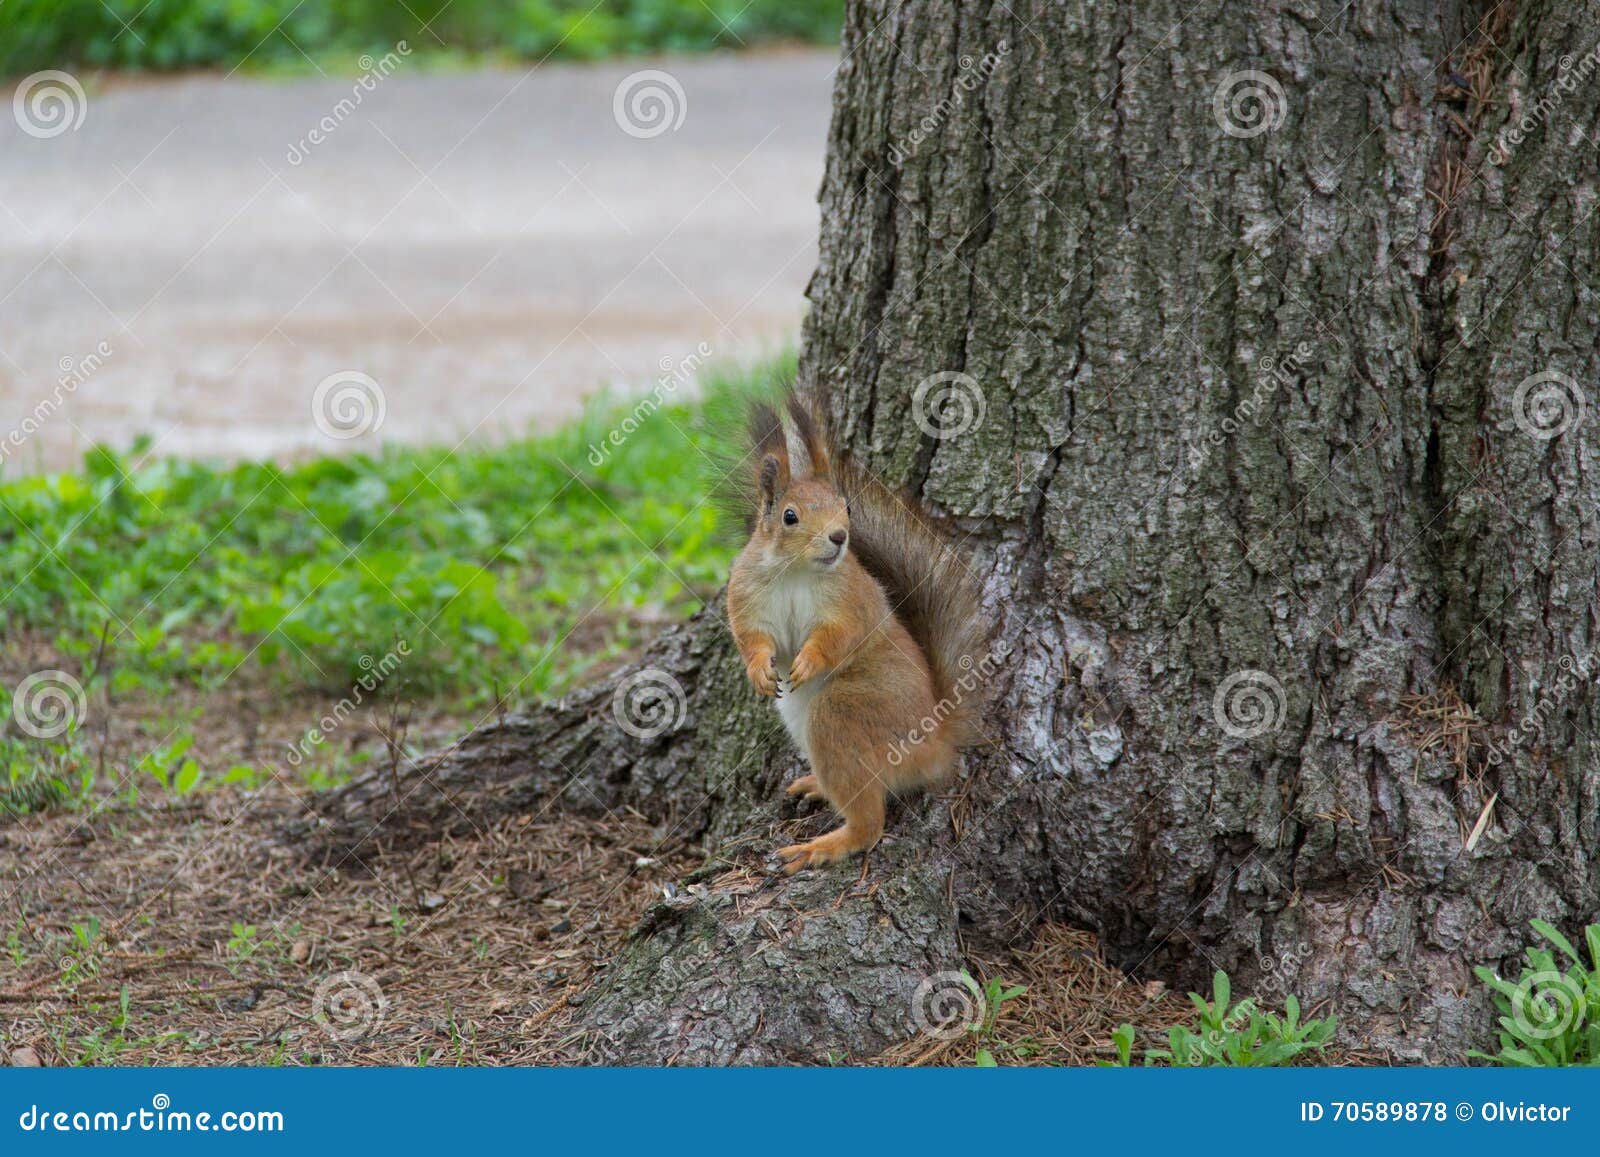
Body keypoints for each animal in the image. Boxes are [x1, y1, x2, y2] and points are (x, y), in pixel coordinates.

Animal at [724, 388, 988, 873]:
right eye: (789, 516)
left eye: (846, 506)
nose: (839, 537)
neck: (797, 573)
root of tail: (937, 747)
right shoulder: (746, 596)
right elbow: (751, 637)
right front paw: (758, 670)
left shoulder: (852, 602)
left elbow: (839, 637)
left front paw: (807, 661)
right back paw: (814, 785)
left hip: (844, 714)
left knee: (869, 824)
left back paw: (822, 846)